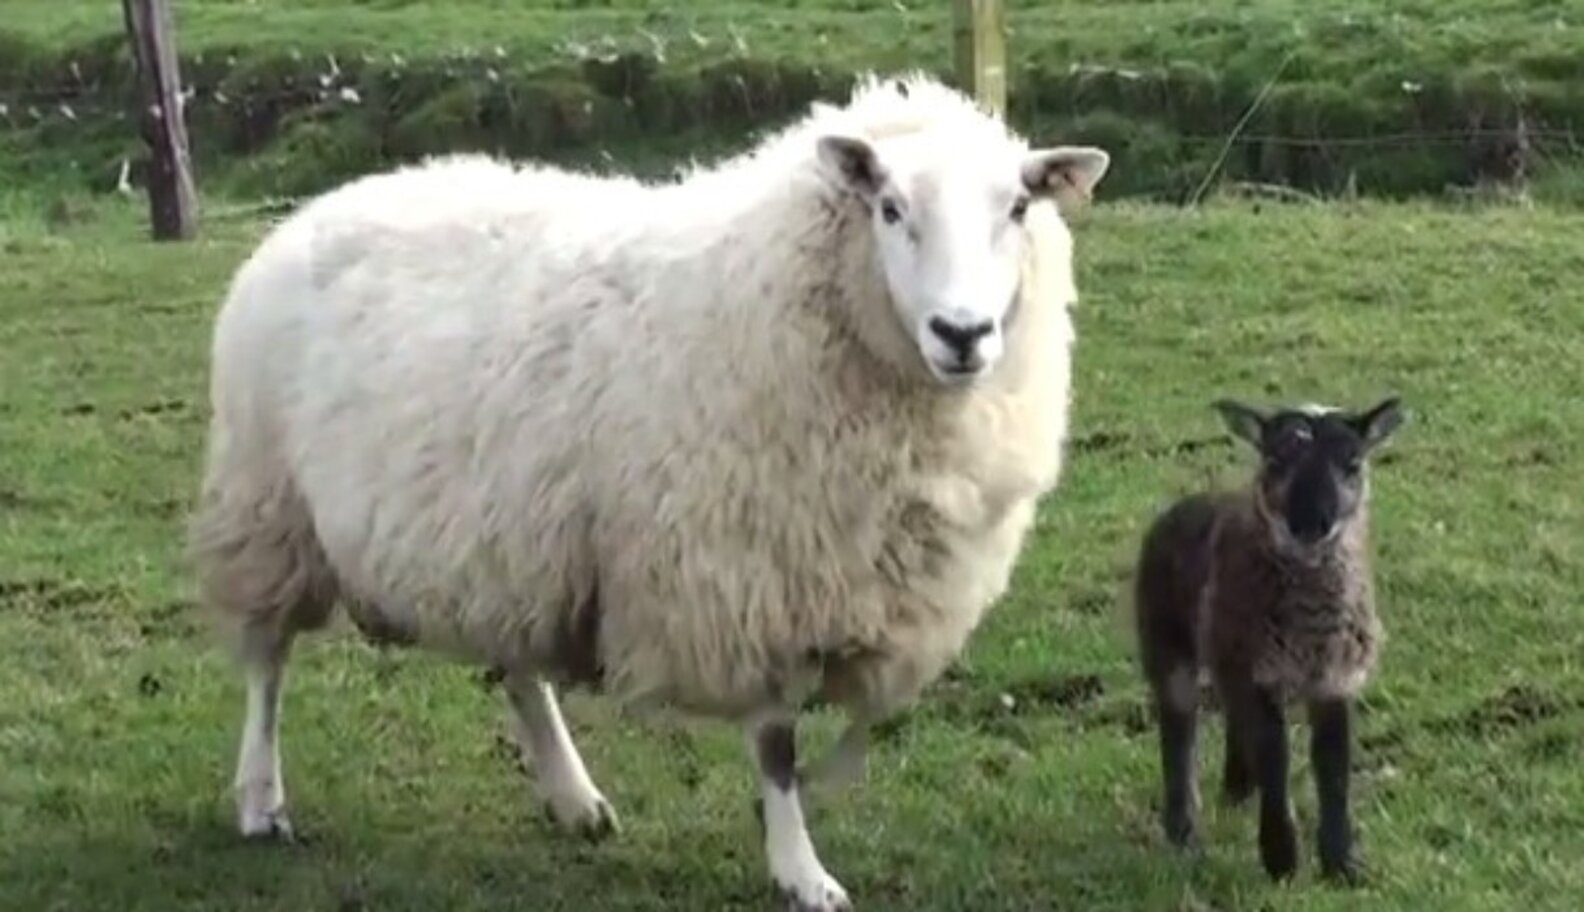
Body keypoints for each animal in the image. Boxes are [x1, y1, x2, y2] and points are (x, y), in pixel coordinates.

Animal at [188, 71, 1111, 911]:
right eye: (888, 207)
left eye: (1019, 209)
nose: (963, 333)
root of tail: (317, 208)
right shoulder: (748, 575)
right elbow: (776, 747)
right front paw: (800, 869)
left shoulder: (854, 583)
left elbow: (850, 727)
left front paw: (818, 805)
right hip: (268, 506)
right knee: (267, 665)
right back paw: (261, 799)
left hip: (504, 530)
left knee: (518, 668)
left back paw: (572, 797)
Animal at [1131, 397, 1405, 883]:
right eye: (1274, 462)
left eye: (1353, 464)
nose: (1311, 523)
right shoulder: (1252, 670)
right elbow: (1276, 757)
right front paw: (1281, 860)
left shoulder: (1333, 676)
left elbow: (1333, 766)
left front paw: (1343, 864)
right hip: (1168, 642)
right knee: (1179, 730)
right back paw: (1184, 829)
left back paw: (1237, 789)